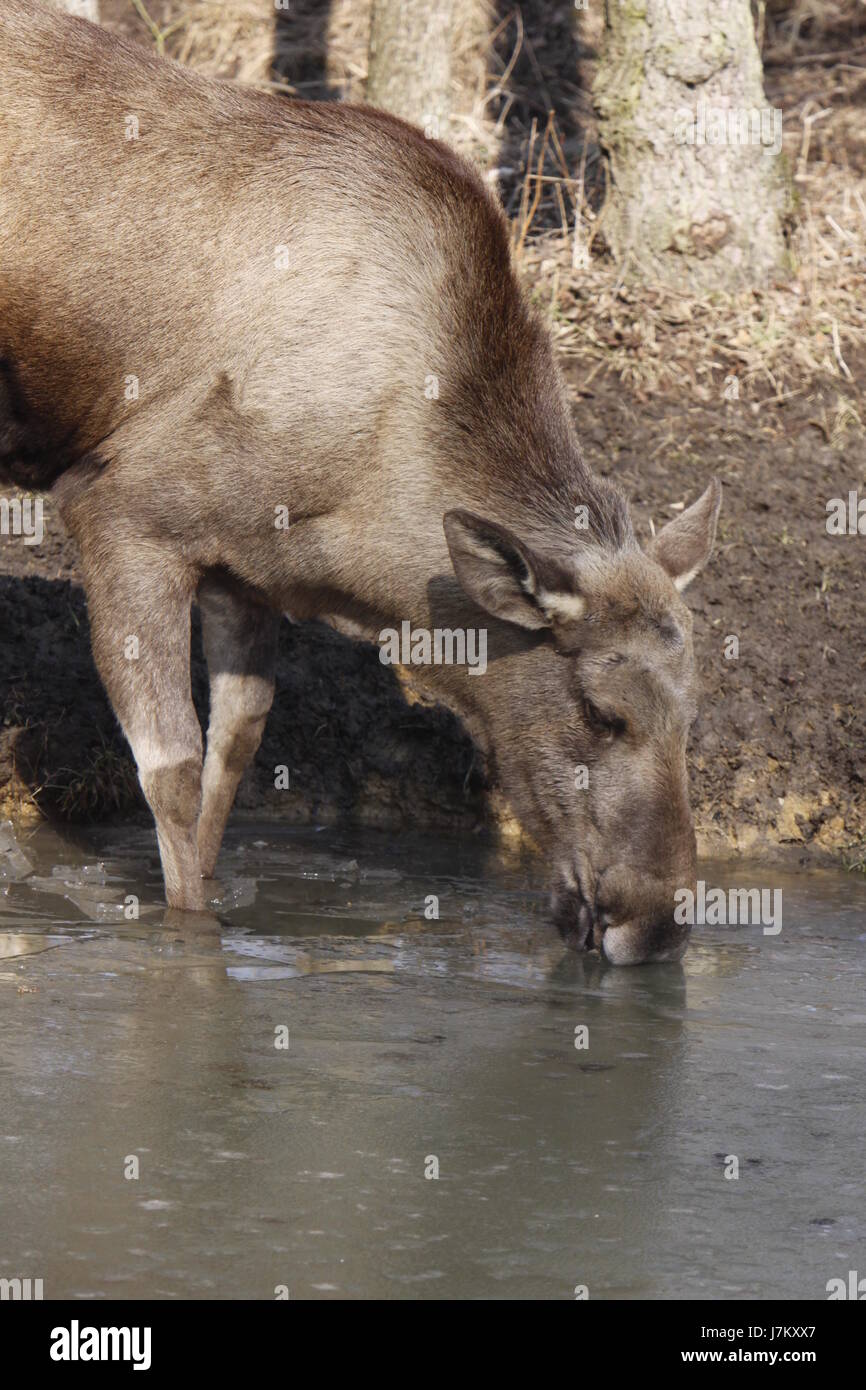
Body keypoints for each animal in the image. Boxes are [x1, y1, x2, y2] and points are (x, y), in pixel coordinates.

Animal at [0, 0, 721, 964]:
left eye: (695, 712)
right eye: (604, 713)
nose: (656, 925)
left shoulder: (244, 565)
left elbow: (236, 750)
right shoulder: (120, 510)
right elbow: (173, 771)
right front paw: (192, 943)